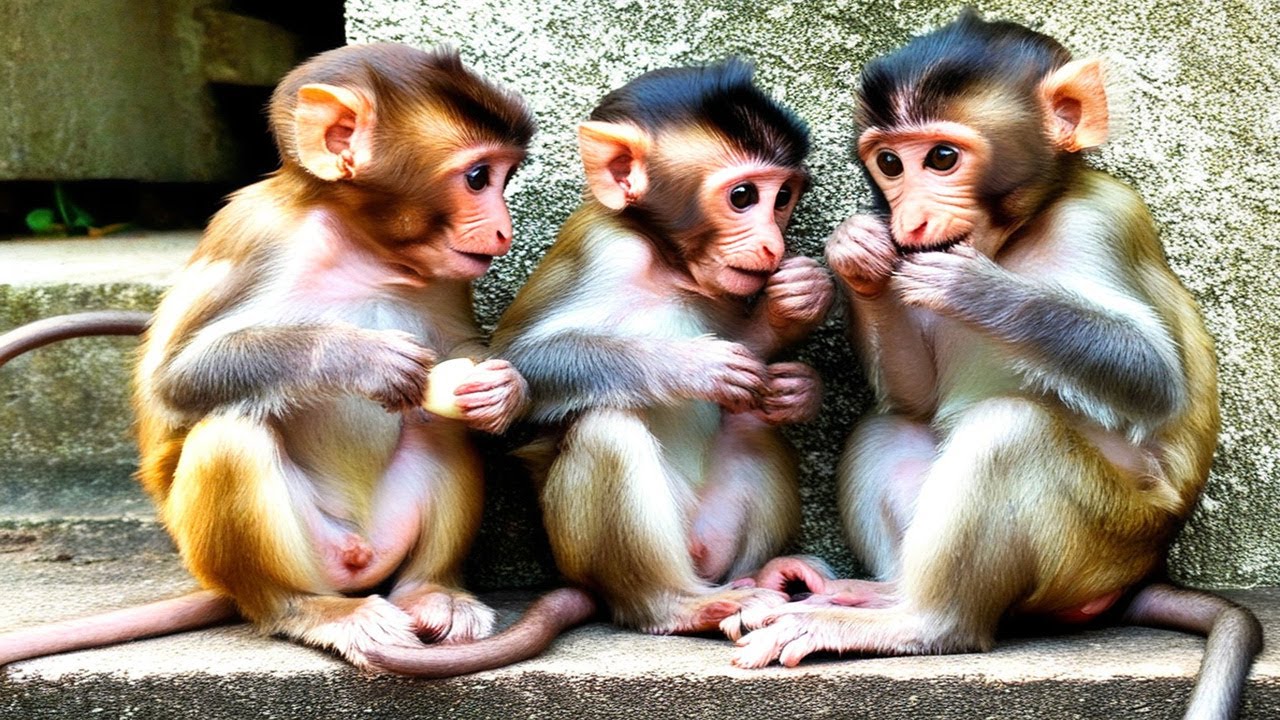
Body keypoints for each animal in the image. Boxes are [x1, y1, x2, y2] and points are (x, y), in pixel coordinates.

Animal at [0, 42, 595, 675]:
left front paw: (504, 388)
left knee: (441, 426)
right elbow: (173, 381)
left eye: (505, 177)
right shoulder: (253, 236)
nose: (505, 230)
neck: (360, 246)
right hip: (281, 555)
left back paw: (431, 591)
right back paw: (309, 610)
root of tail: (358, 559)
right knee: (231, 435)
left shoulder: (445, 273)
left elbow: (458, 350)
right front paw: (358, 358)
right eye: (479, 177)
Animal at [488, 60, 834, 635]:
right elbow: (516, 359)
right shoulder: (604, 248)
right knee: (606, 429)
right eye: (744, 196)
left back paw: (764, 574)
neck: (665, 261)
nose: (773, 244)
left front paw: (798, 360)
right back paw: (678, 605)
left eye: (782, 197)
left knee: (753, 426)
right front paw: (693, 366)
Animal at [725, 14, 1262, 720]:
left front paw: (976, 290)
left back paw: (922, 624)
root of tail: (1143, 574)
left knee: (1010, 430)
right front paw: (858, 254)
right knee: (890, 425)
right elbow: (916, 399)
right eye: (890, 162)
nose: (907, 217)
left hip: (1099, 541)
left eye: (942, 158)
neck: (1021, 233)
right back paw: (885, 596)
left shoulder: (1105, 220)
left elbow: (1155, 379)